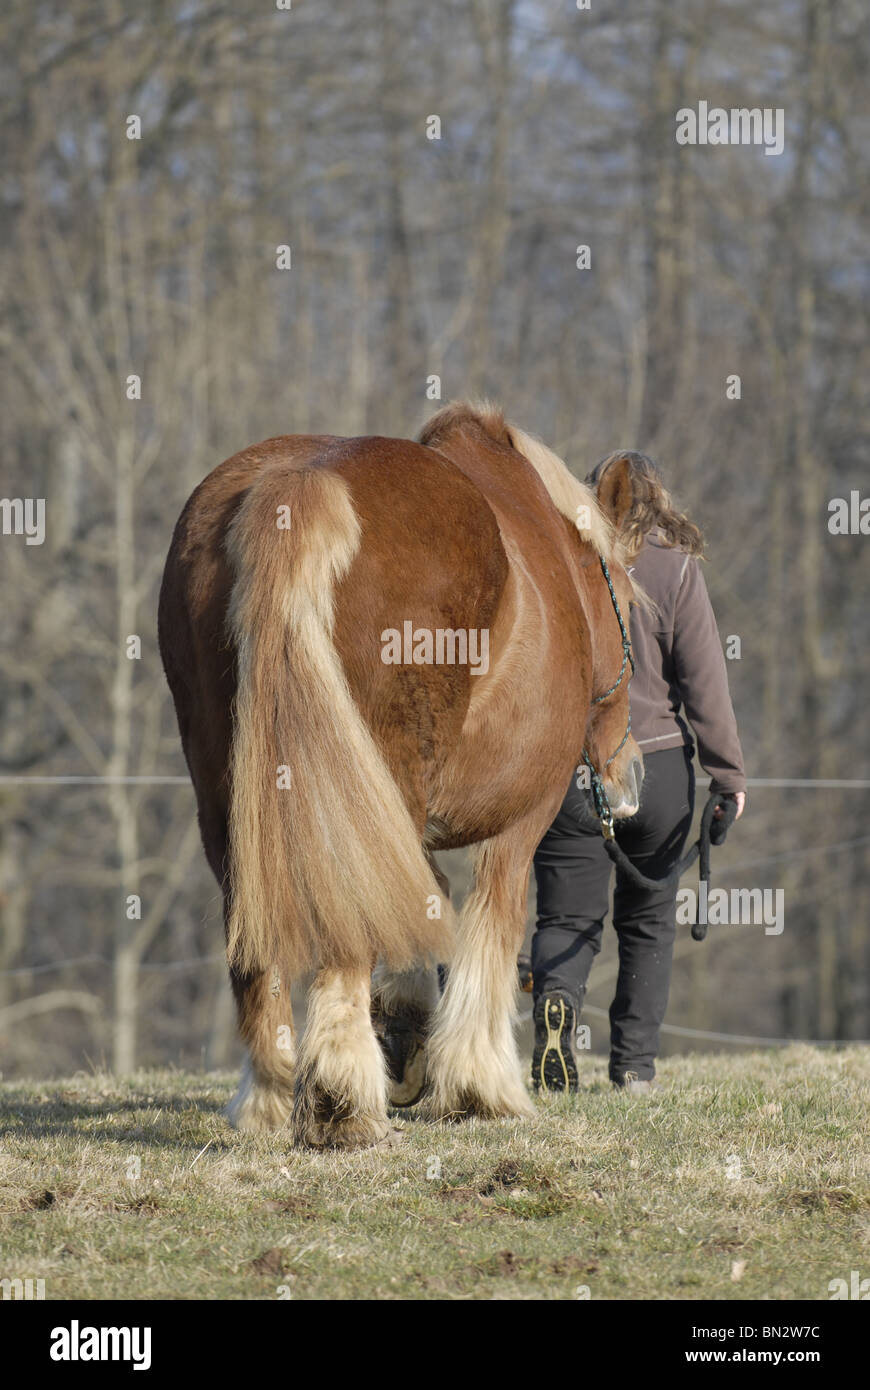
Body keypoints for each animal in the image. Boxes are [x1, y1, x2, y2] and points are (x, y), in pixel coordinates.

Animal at [157, 401, 642, 1150]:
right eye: (631, 607)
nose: (628, 780)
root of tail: (301, 486)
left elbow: (422, 901)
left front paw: (409, 1038)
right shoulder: (521, 821)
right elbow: (489, 922)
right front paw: (476, 1084)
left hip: (232, 794)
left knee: (259, 935)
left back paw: (272, 1094)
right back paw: (341, 1101)